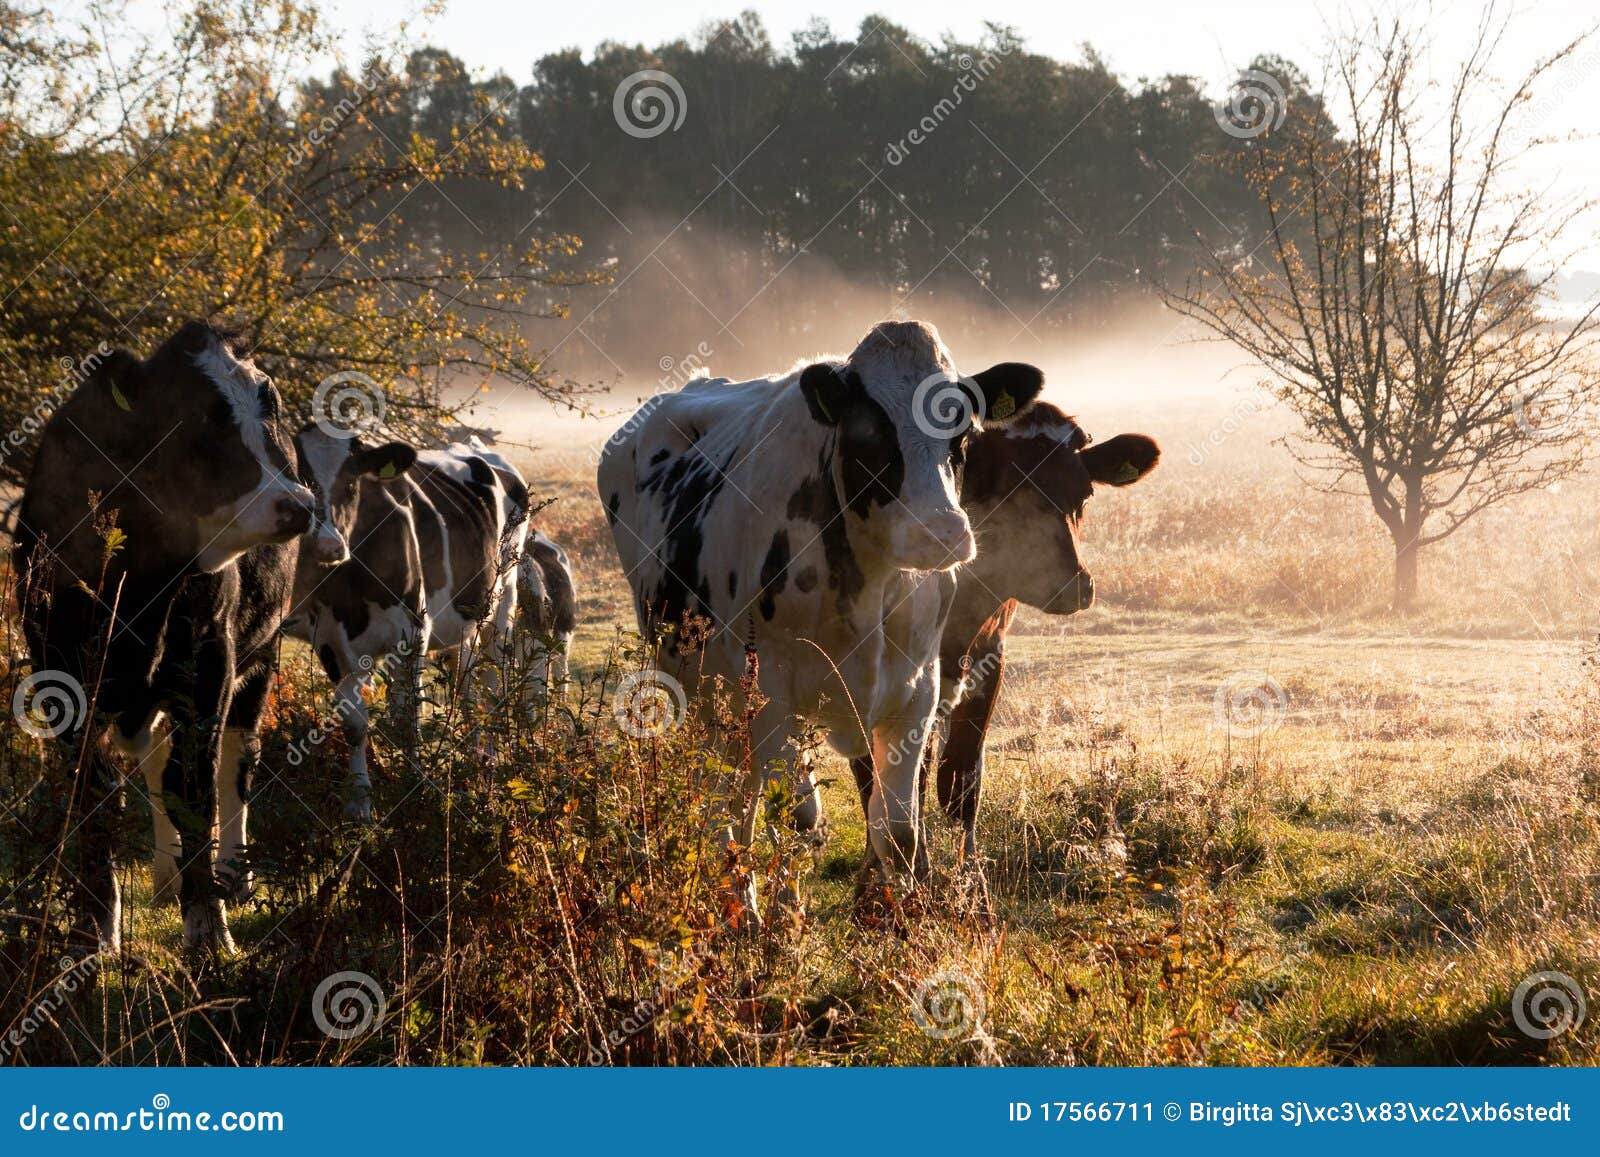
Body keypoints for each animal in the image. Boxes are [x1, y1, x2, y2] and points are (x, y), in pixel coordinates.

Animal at [12, 321, 315, 954]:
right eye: (198, 421)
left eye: (268, 409)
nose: (297, 504)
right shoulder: (60, 675)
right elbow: (95, 795)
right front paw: (94, 933)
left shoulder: (209, 664)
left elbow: (194, 789)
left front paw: (209, 931)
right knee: (153, 763)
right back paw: (163, 878)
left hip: (259, 659)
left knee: (236, 761)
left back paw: (232, 876)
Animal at [286, 429, 550, 819]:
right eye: (299, 479)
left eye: (351, 482)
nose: (327, 546)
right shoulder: (331, 640)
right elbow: (354, 724)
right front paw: (359, 802)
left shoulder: (412, 632)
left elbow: (408, 720)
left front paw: (415, 788)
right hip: (463, 621)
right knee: (465, 682)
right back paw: (477, 755)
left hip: (504, 597)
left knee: (491, 680)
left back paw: (490, 761)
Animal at [598, 320, 1045, 918]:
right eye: (868, 436)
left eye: (963, 436)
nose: (942, 534)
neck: (868, 582)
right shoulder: (771, 697)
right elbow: (798, 818)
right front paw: (787, 923)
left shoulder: (917, 693)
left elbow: (899, 831)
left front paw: (903, 920)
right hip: (702, 688)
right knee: (729, 799)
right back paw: (743, 906)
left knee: (745, 795)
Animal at [849, 401, 1160, 910]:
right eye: (1010, 491)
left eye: (1084, 492)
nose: (1074, 586)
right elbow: (884, 782)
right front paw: (886, 887)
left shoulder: (988, 656)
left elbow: (960, 781)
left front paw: (969, 883)